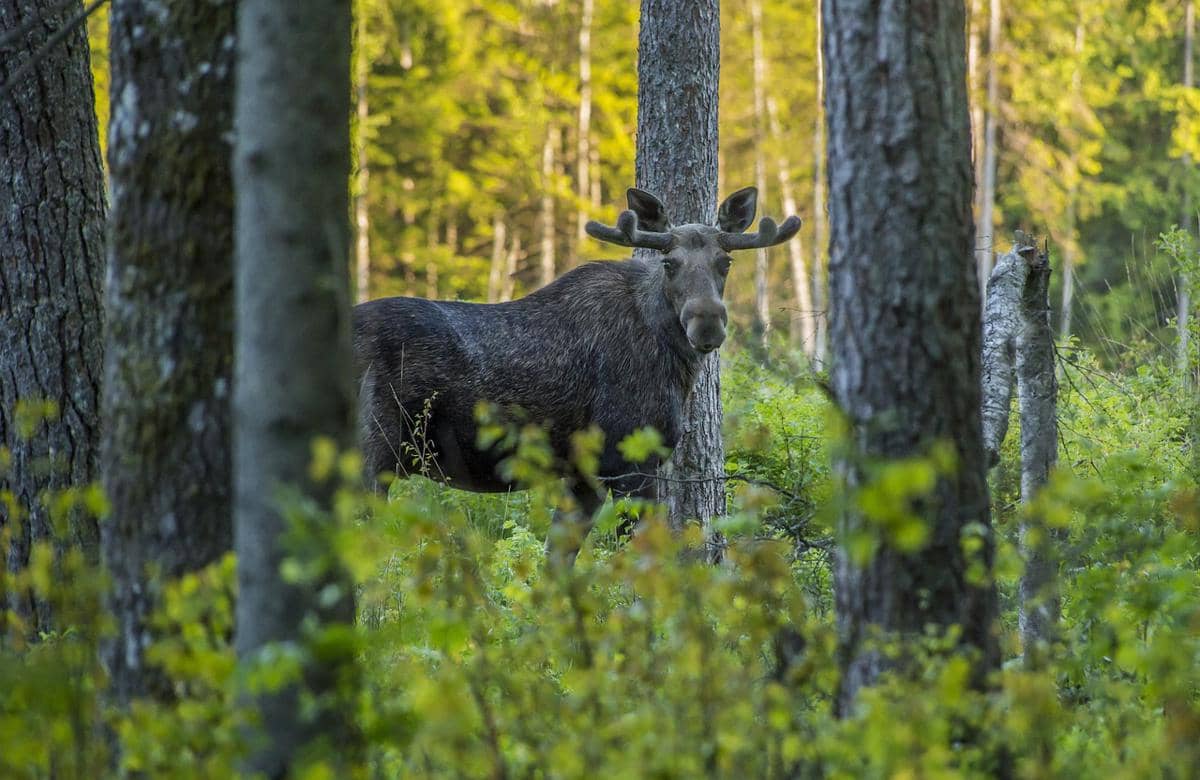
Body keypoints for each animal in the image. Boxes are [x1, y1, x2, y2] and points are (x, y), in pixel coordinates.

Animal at [352, 186, 801, 563]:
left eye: (725, 262)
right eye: (669, 263)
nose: (707, 322)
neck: (676, 367)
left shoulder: (584, 474)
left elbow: (557, 562)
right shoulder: (629, 459)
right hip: (370, 453)